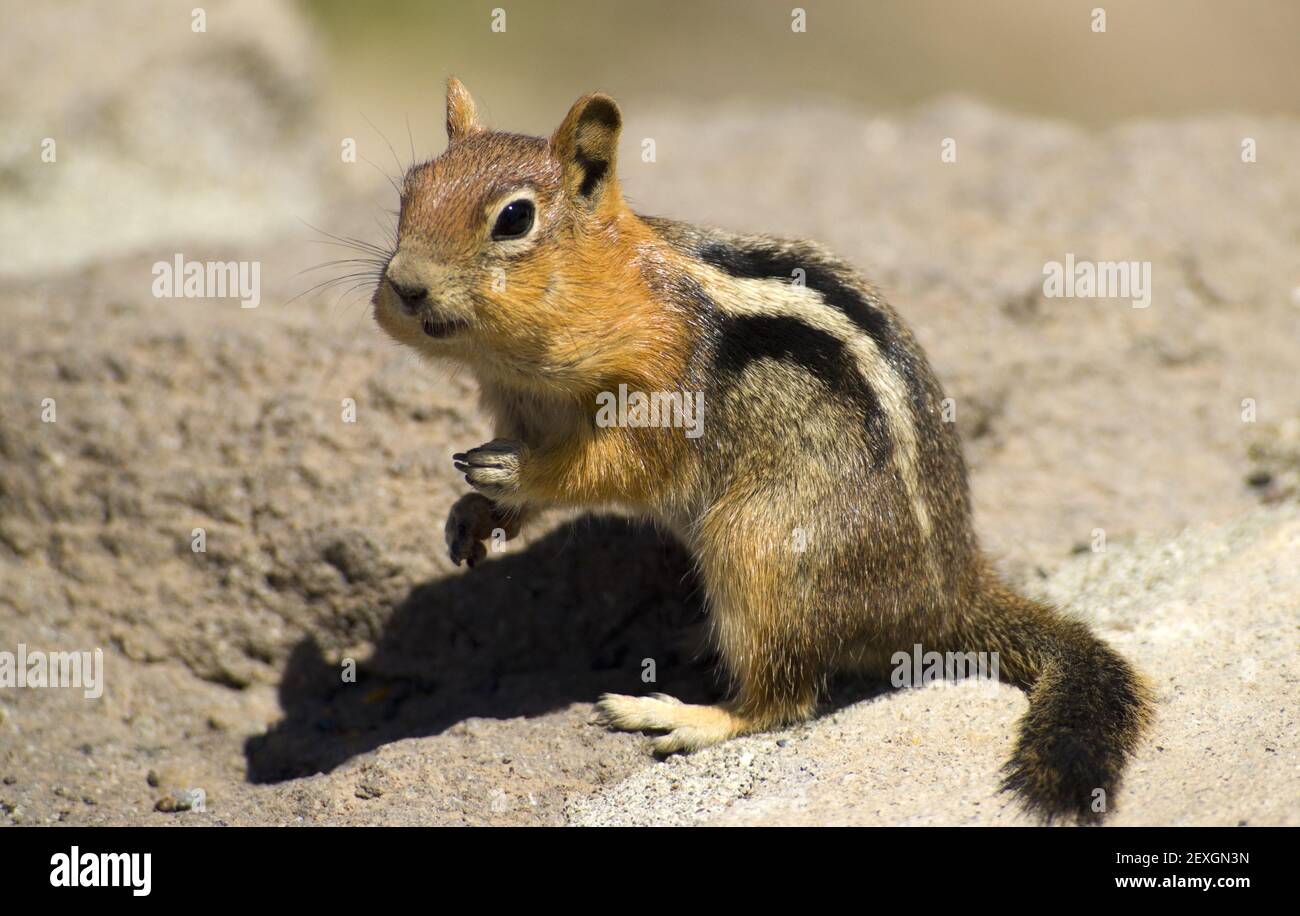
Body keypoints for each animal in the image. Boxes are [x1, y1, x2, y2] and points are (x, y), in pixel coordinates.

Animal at [370, 78, 1153, 824]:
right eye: (409, 188)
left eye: (514, 218)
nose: (404, 287)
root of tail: (950, 594)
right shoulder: (513, 406)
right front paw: (473, 517)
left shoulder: (664, 387)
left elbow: (613, 466)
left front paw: (516, 471)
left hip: (759, 544)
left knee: (784, 699)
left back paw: (680, 714)